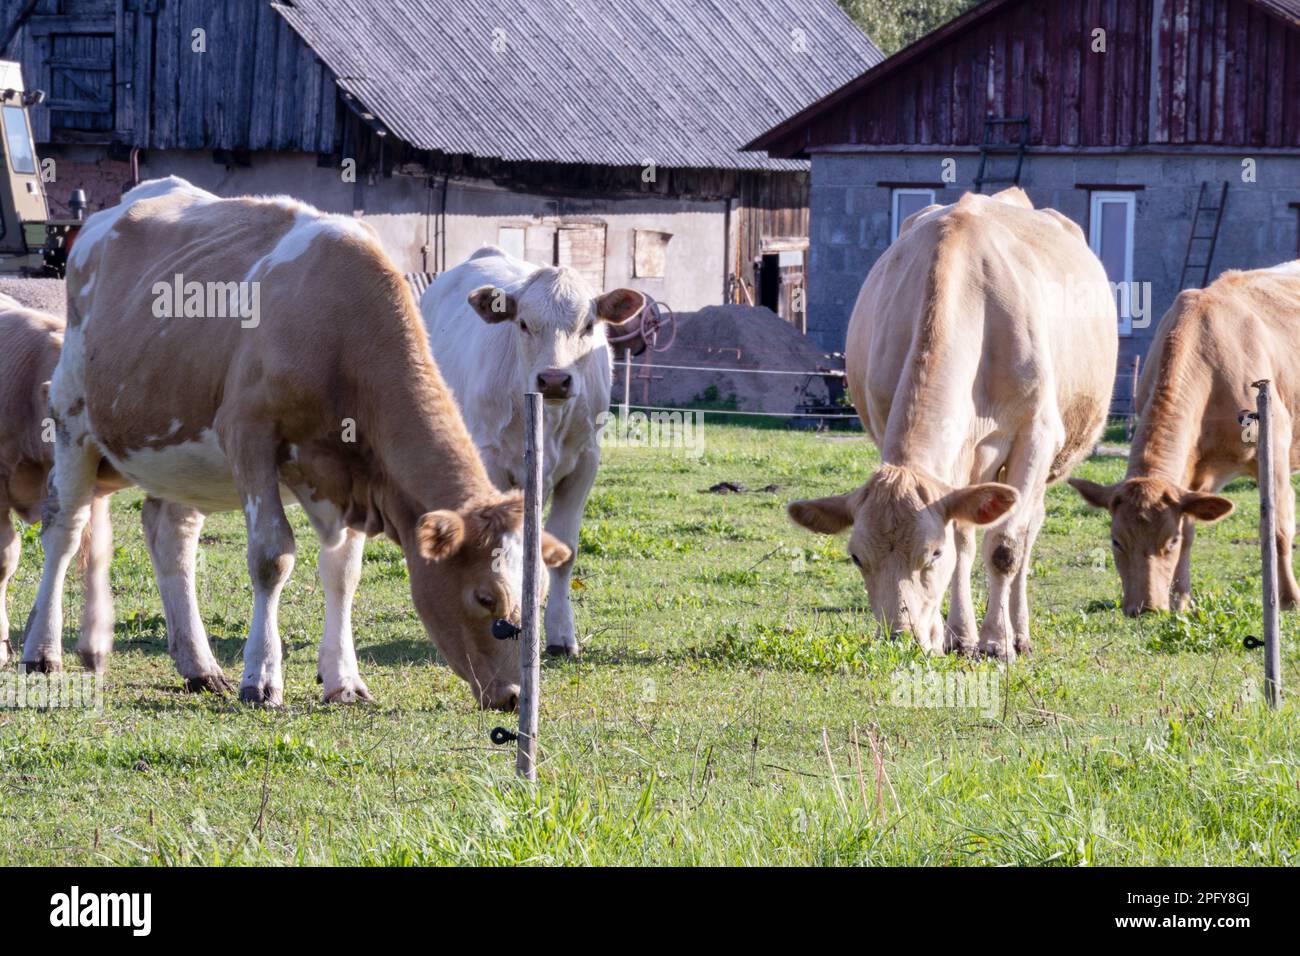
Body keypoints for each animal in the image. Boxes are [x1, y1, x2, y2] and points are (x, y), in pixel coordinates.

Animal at [20, 177, 570, 709]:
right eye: (484, 598)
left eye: (538, 595)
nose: (514, 696)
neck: (340, 330)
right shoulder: (249, 433)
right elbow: (273, 557)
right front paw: (262, 678)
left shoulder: (354, 474)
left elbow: (343, 573)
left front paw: (344, 680)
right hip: (72, 416)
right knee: (65, 529)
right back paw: (42, 652)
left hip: (184, 455)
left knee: (170, 537)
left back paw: (199, 667)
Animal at [419, 247, 644, 656]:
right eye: (523, 323)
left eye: (588, 325)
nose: (554, 379)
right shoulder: (492, 462)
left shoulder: (585, 463)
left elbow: (564, 550)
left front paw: (560, 634)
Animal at [787, 188, 1117, 661]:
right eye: (856, 558)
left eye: (932, 554)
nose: (900, 638)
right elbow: (964, 543)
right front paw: (958, 636)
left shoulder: (1036, 435)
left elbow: (1004, 547)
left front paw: (997, 642)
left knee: (1027, 530)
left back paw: (1019, 632)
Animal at [1069, 262, 1300, 615]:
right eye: (1116, 541)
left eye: (1170, 541)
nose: (1144, 608)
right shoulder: (1191, 474)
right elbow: (1191, 527)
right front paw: (1181, 600)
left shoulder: (1273, 450)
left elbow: (1278, 527)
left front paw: (1288, 600)